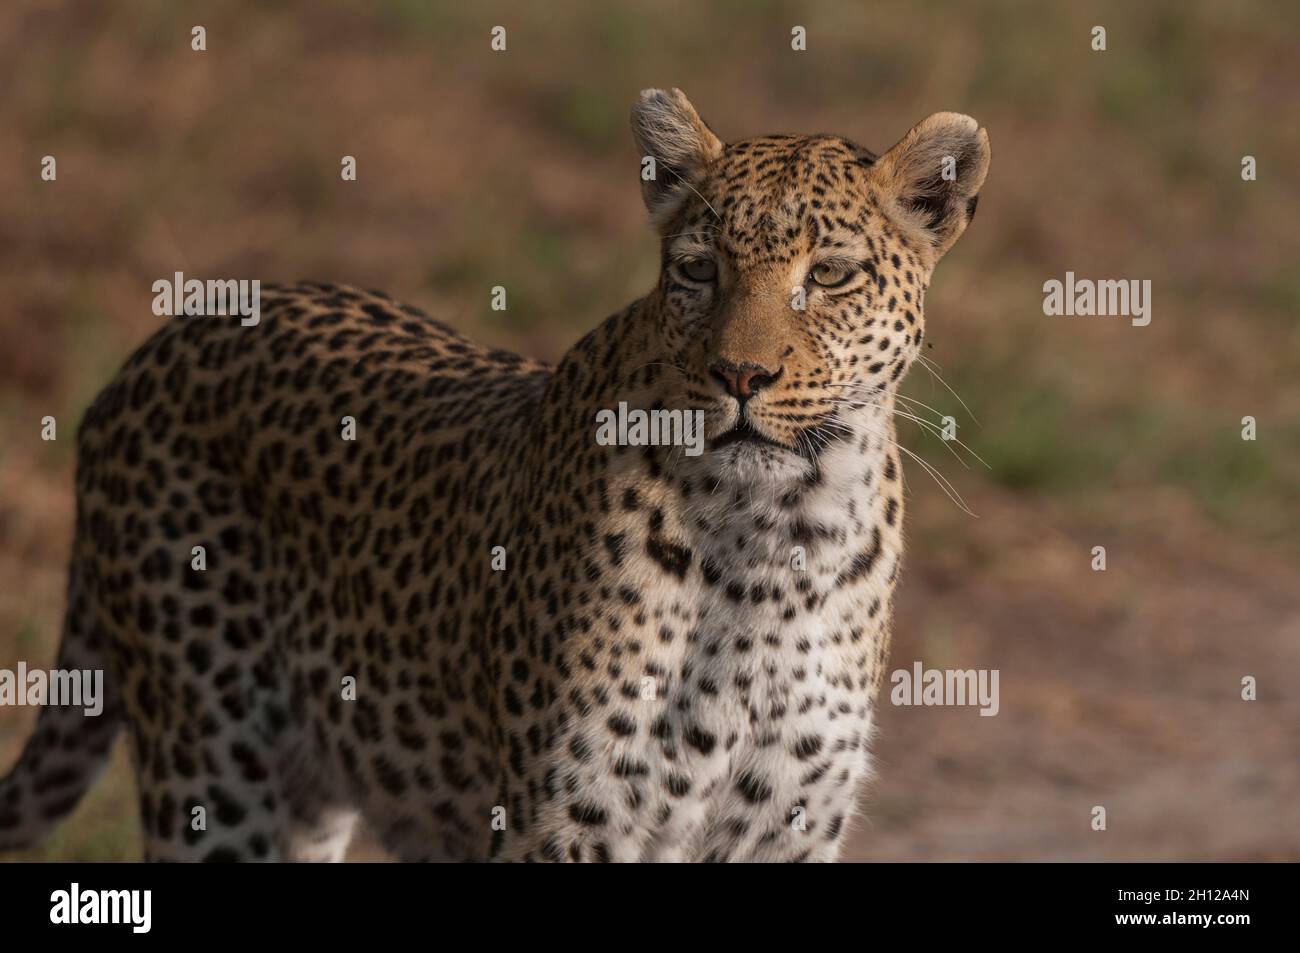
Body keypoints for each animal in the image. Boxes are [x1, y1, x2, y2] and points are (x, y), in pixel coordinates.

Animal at [0, 89, 989, 862]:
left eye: (832, 274)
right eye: (698, 269)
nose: (740, 376)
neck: (773, 537)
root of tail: (154, 348)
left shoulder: (787, 823)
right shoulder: (569, 819)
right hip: (211, 765)